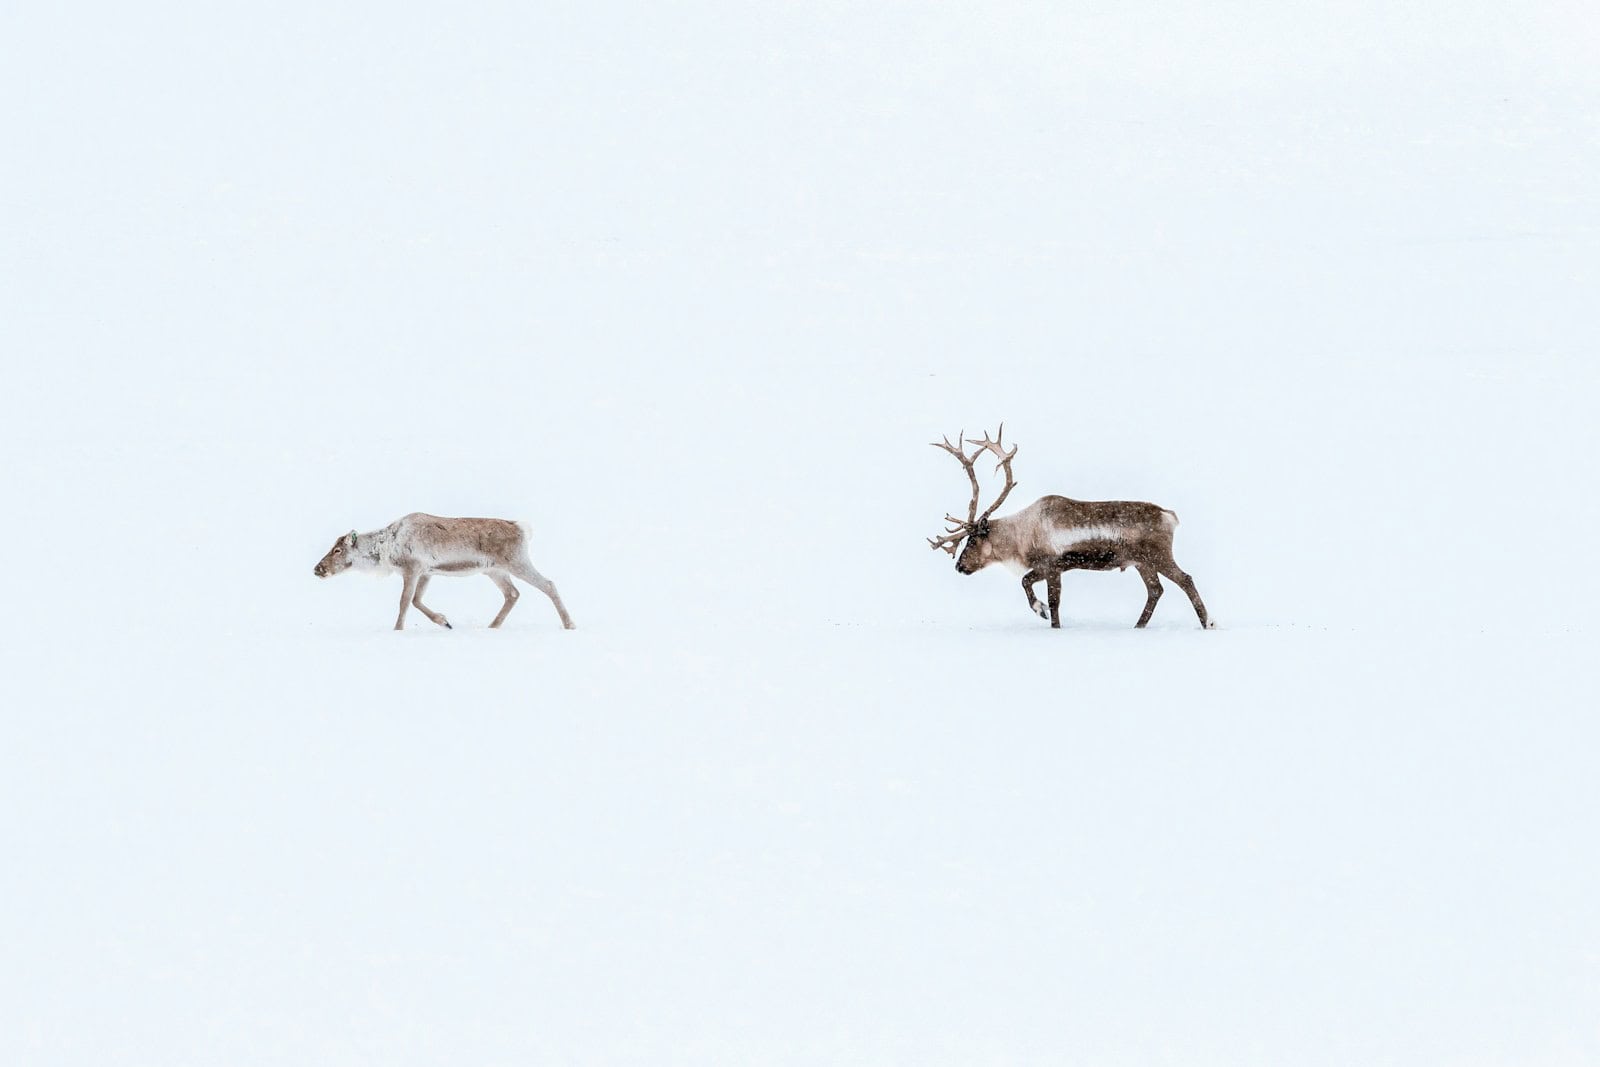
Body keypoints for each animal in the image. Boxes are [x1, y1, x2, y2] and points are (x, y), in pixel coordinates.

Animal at [313, 513, 575, 631]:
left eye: (337, 549)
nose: (317, 569)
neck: (386, 548)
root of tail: (523, 529)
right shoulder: (427, 571)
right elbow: (417, 601)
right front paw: (444, 621)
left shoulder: (412, 568)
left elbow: (404, 602)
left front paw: (397, 630)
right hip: (494, 571)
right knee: (512, 594)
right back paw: (492, 626)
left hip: (516, 562)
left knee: (548, 584)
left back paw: (569, 624)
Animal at [928, 427, 1212, 630]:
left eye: (971, 540)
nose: (959, 566)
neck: (1020, 535)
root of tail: (1169, 516)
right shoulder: (1051, 567)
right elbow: (1028, 583)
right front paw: (1042, 611)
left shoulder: (1052, 565)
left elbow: (1047, 598)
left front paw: (1043, 612)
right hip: (1142, 562)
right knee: (1155, 590)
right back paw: (1137, 626)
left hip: (1158, 555)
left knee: (1185, 580)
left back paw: (1207, 623)